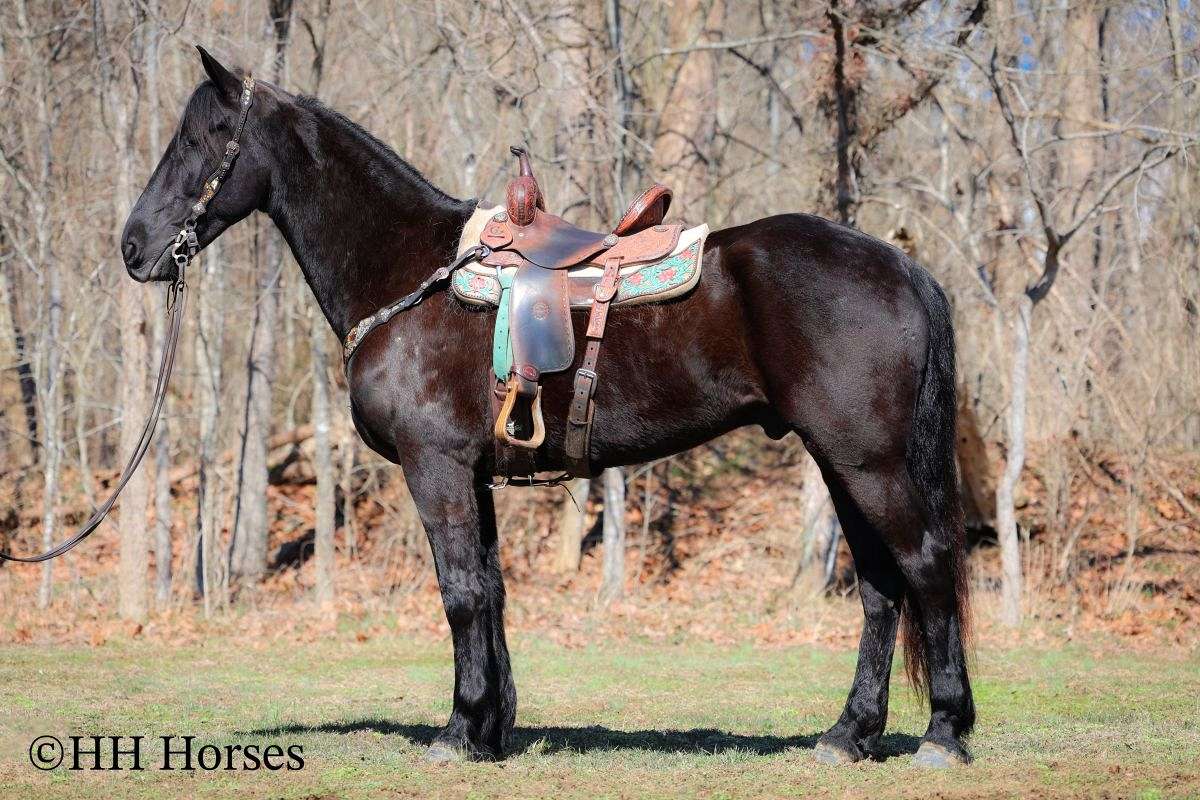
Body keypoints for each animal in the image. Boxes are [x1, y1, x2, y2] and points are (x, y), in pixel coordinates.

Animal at [120, 47, 974, 768]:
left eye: (202, 137)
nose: (133, 246)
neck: (412, 271)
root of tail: (898, 263)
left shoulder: (436, 468)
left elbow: (461, 593)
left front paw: (459, 731)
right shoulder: (474, 475)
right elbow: (491, 591)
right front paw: (492, 730)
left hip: (868, 462)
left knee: (925, 565)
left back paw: (942, 733)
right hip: (841, 463)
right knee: (879, 585)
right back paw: (849, 734)